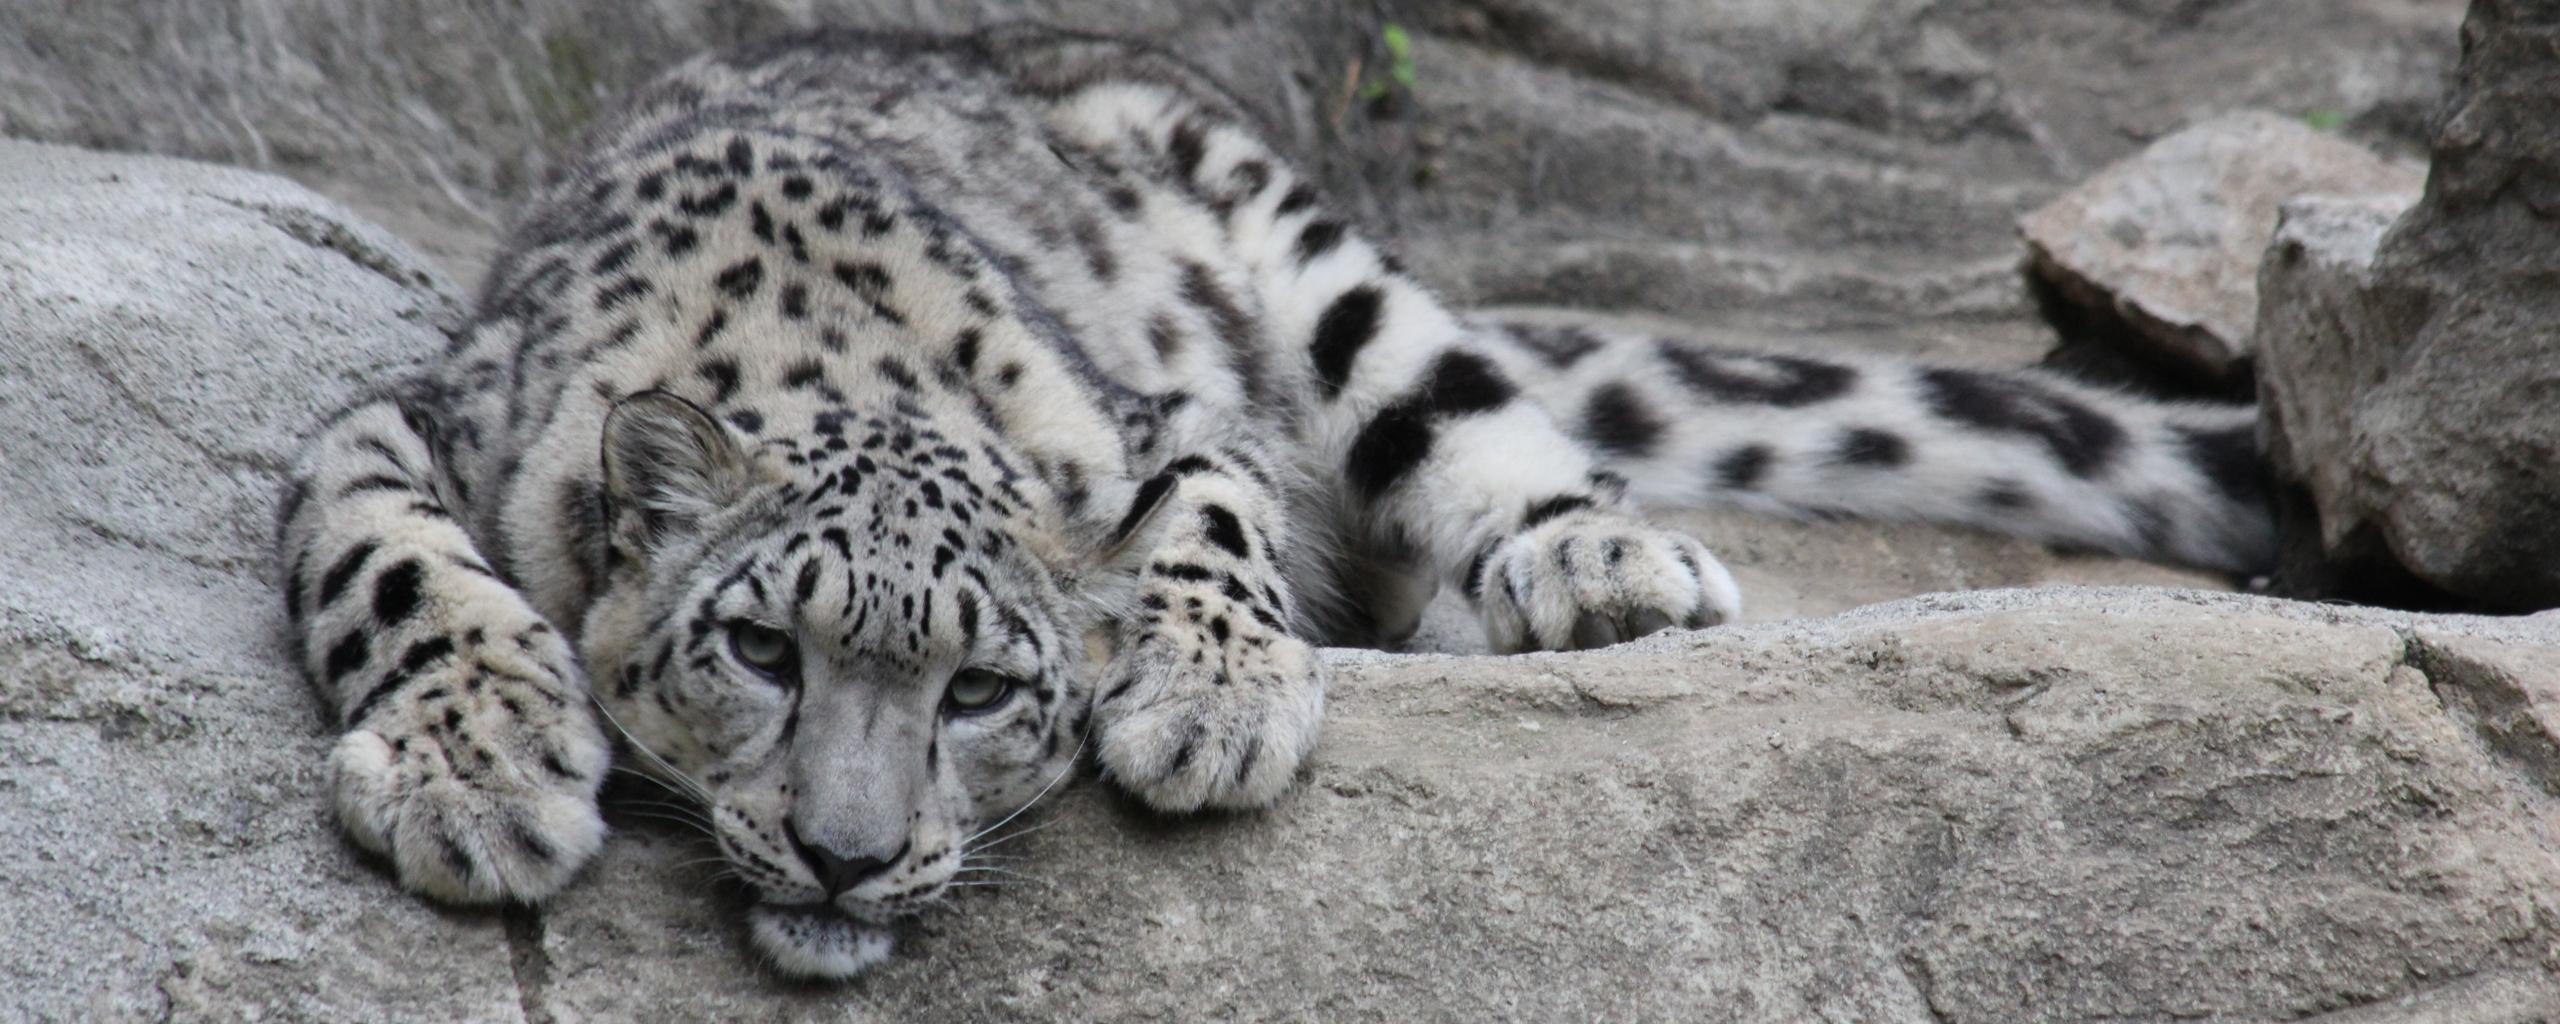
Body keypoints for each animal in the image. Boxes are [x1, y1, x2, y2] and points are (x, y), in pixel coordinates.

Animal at [273, 25, 2275, 979]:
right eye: (762, 645)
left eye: (982, 688)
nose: (845, 851)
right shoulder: (402, 424)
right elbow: (390, 562)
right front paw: (480, 771)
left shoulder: (1164, 418)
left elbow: (1211, 517)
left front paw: (1213, 701)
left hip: (1317, 262)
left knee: (1474, 421)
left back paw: (1589, 565)